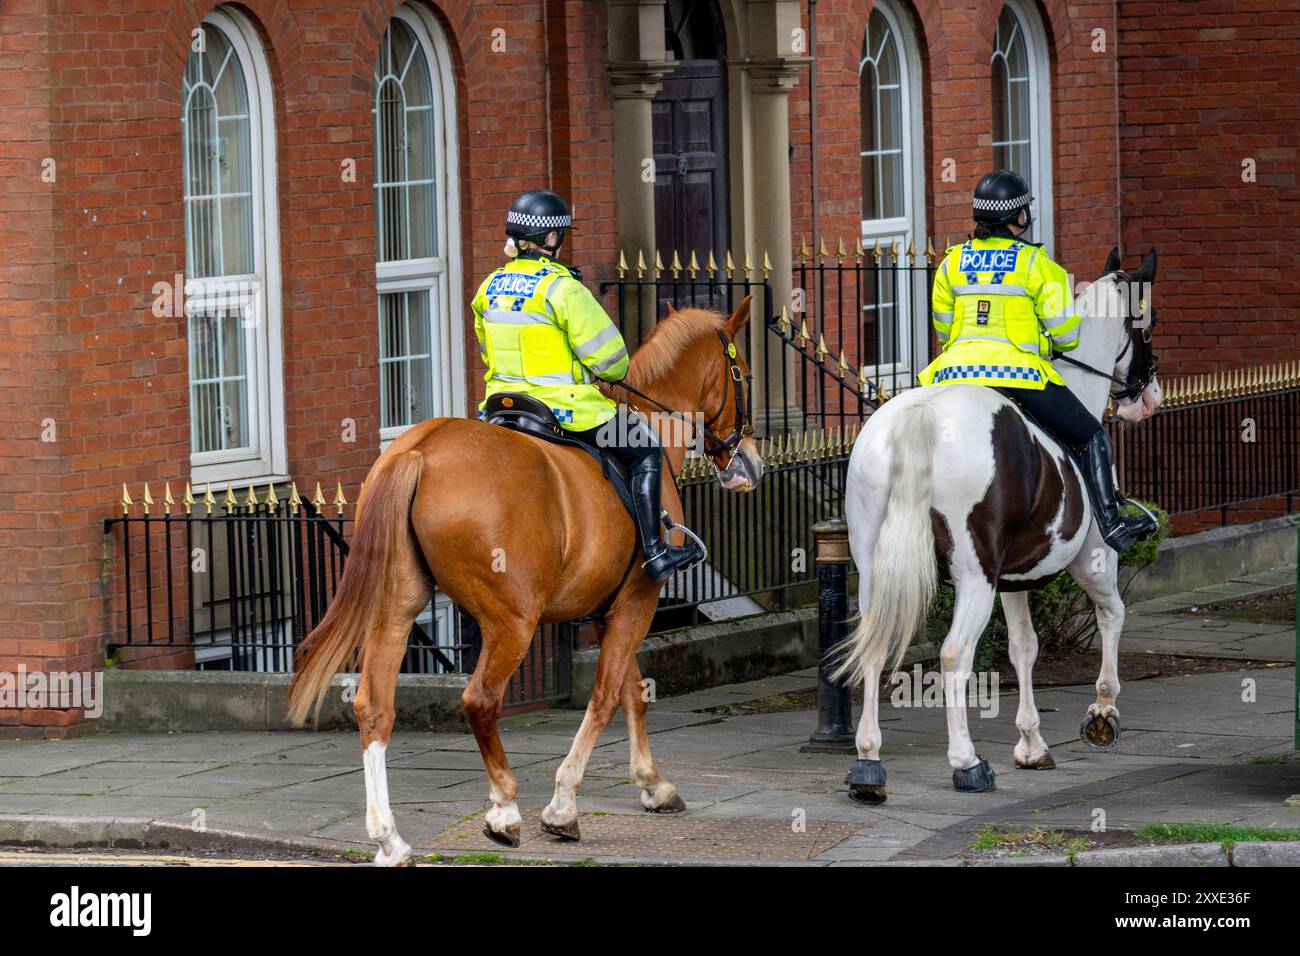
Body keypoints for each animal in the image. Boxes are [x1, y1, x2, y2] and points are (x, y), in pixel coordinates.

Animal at [286, 297, 762, 865]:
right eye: (744, 372)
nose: (749, 463)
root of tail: (418, 451)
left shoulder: (612, 607)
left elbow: (631, 690)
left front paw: (652, 783)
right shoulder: (637, 601)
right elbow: (607, 695)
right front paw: (563, 806)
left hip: (396, 609)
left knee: (373, 708)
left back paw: (390, 838)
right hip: (512, 621)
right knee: (480, 701)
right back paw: (504, 810)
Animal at [833, 248, 1161, 800]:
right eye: (1148, 325)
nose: (1150, 396)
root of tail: (922, 417)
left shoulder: (1015, 579)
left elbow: (1023, 647)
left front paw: (1031, 743)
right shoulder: (1092, 559)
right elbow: (1112, 615)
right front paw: (1103, 711)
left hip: (878, 568)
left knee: (875, 648)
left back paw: (868, 763)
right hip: (975, 577)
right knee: (953, 656)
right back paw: (966, 762)